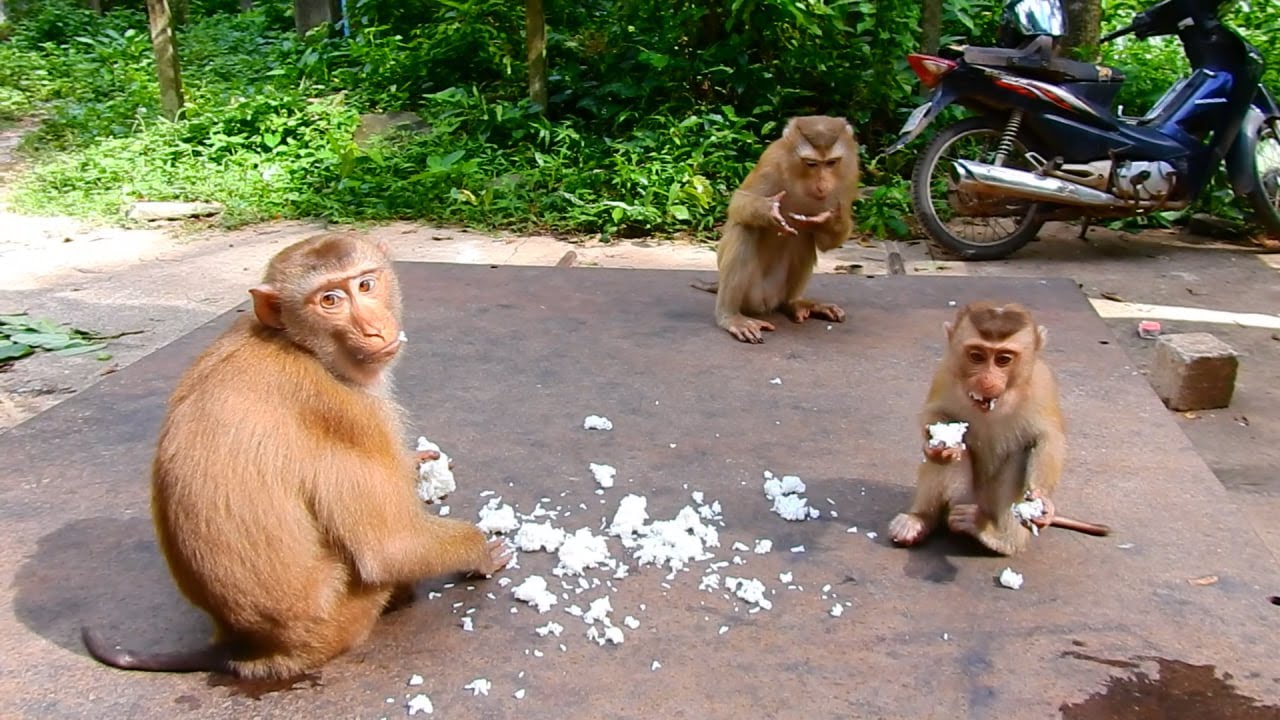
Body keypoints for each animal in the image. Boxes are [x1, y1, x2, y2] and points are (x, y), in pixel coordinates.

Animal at [81, 232, 511, 679]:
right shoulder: (347, 412)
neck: (299, 345)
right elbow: (391, 546)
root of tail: (245, 646)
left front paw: (414, 464)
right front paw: (481, 552)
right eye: (329, 300)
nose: (374, 330)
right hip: (343, 618)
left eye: (366, 285)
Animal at [691, 115, 861, 343]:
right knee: (745, 229)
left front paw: (827, 220)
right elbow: (738, 204)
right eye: (811, 164)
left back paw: (793, 303)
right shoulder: (772, 160)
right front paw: (769, 211)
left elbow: (826, 242)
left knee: (804, 237)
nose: (823, 185)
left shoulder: (849, 174)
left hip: (777, 291)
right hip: (752, 296)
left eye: (831, 163)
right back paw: (730, 316)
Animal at [888, 301, 1110, 556]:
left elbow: (1048, 438)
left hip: (991, 508)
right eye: (976, 356)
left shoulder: (1042, 383)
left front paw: (1042, 500)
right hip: (962, 496)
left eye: (1003, 359)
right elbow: (934, 414)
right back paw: (920, 519)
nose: (986, 380)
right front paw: (937, 448)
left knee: (1021, 456)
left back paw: (996, 537)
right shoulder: (944, 372)